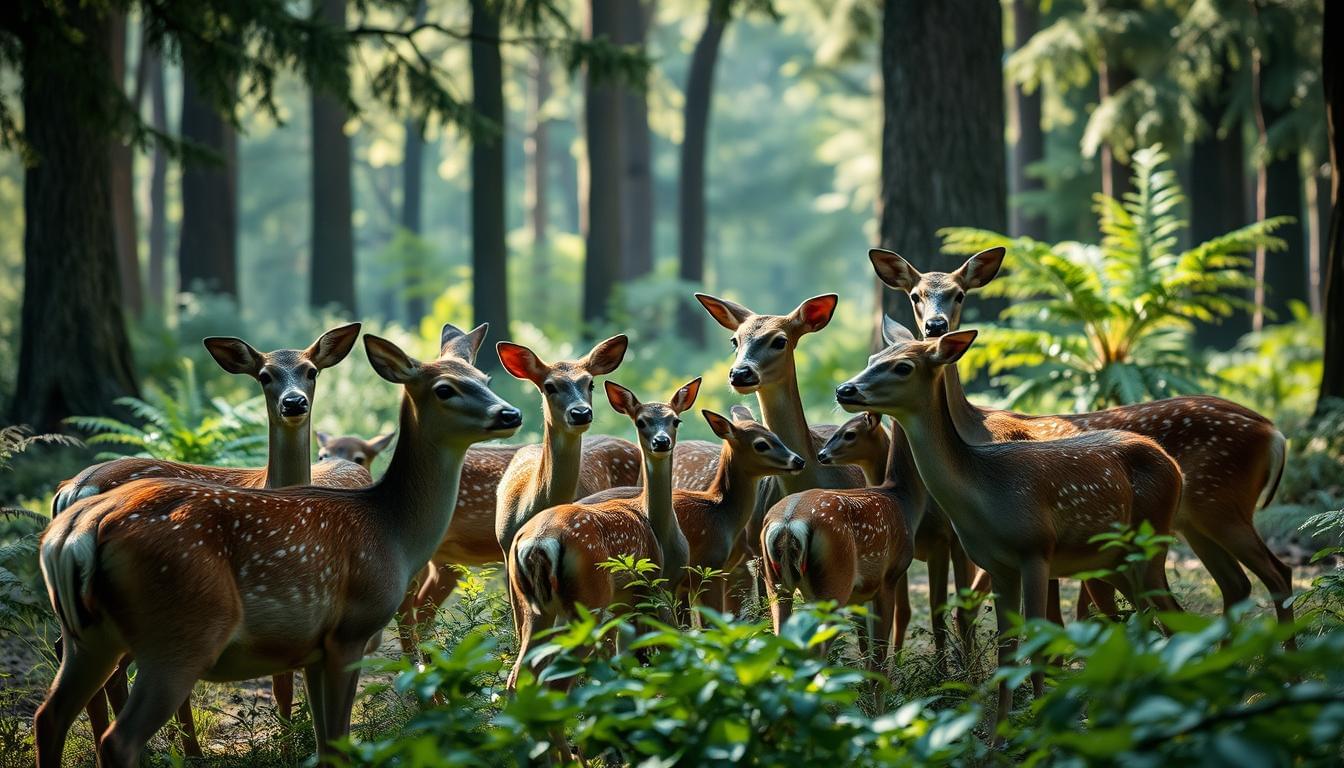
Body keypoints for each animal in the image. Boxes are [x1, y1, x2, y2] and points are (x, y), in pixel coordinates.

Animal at [507, 378, 702, 692]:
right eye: (641, 421)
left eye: (675, 420)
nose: (661, 442)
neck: (657, 526)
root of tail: (538, 543)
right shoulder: (653, 588)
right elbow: (669, 647)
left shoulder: (627, 600)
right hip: (589, 597)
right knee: (558, 675)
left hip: (532, 604)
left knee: (521, 673)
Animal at [817, 412, 977, 657]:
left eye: (850, 433)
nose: (822, 454)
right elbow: (902, 612)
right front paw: (897, 662)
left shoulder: (939, 541)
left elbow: (936, 611)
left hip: (960, 546)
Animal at [836, 323, 1184, 737]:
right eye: (872, 358)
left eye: (903, 366)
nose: (845, 390)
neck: (985, 492)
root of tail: (1174, 466)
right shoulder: (997, 565)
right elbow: (1007, 649)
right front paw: (998, 738)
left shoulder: (1036, 550)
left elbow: (1036, 641)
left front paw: (1042, 726)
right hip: (1114, 559)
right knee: (1153, 618)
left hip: (1151, 541)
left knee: (1170, 613)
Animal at [871, 247, 1293, 628]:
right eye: (915, 295)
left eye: (958, 293)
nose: (936, 327)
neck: (976, 425)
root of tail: (1274, 432)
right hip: (1196, 520)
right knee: (1236, 584)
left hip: (1222, 505)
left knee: (1277, 574)